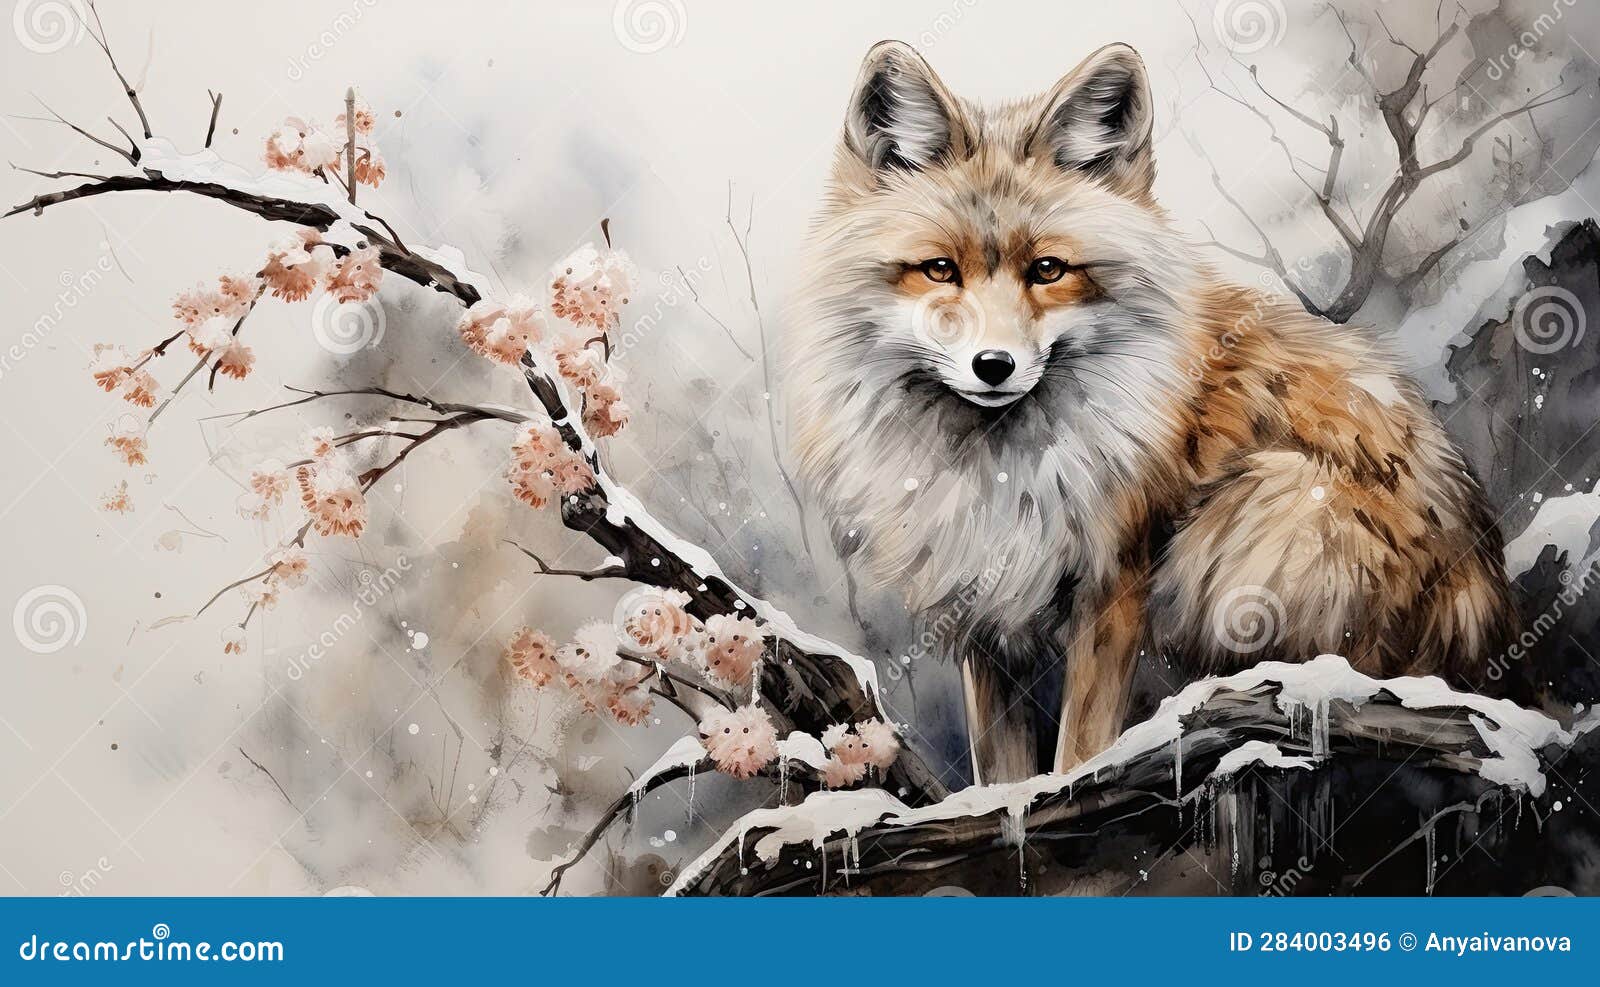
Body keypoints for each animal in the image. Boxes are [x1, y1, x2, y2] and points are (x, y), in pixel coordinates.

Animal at [787, 40, 1517, 784]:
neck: (1002, 474)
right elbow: (1003, 769)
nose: (995, 365)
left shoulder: (1115, 585)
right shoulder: (982, 607)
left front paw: (1073, 788)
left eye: (1048, 270)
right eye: (939, 270)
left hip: (1261, 508)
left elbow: (1081, 747)